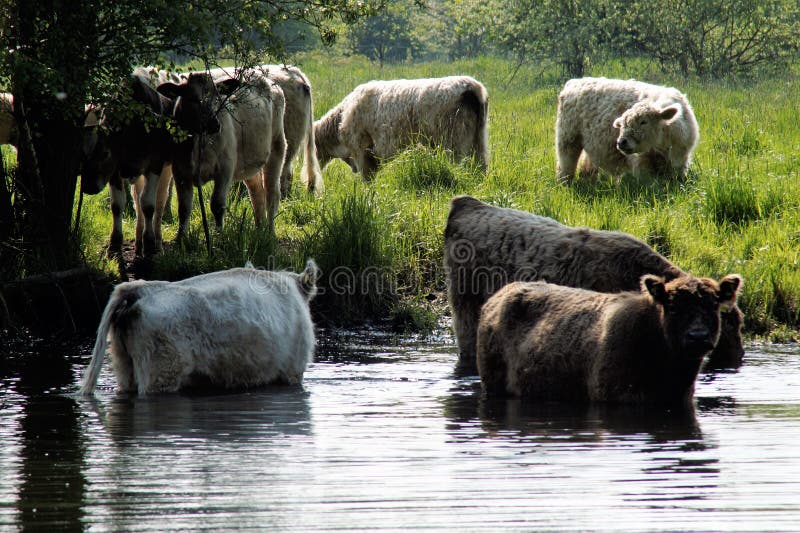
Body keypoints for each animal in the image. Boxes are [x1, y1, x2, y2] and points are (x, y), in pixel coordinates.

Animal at [157, 69, 287, 238]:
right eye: (193, 98)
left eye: (216, 97)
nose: (214, 124)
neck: (199, 142)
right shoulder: (180, 171)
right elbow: (184, 208)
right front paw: (181, 239)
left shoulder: (225, 168)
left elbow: (217, 205)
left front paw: (219, 235)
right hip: (249, 164)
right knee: (257, 193)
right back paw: (260, 229)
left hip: (277, 147)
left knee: (272, 194)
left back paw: (270, 232)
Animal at [314, 76, 489, 180]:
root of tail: (471, 86)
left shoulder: (362, 151)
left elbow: (367, 180)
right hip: (478, 141)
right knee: (480, 169)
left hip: (454, 144)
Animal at [555, 77, 699, 184]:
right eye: (622, 125)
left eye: (643, 122)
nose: (621, 142)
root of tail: (575, 82)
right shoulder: (641, 163)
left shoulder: (680, 160)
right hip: (568, 139)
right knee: (566, 165)